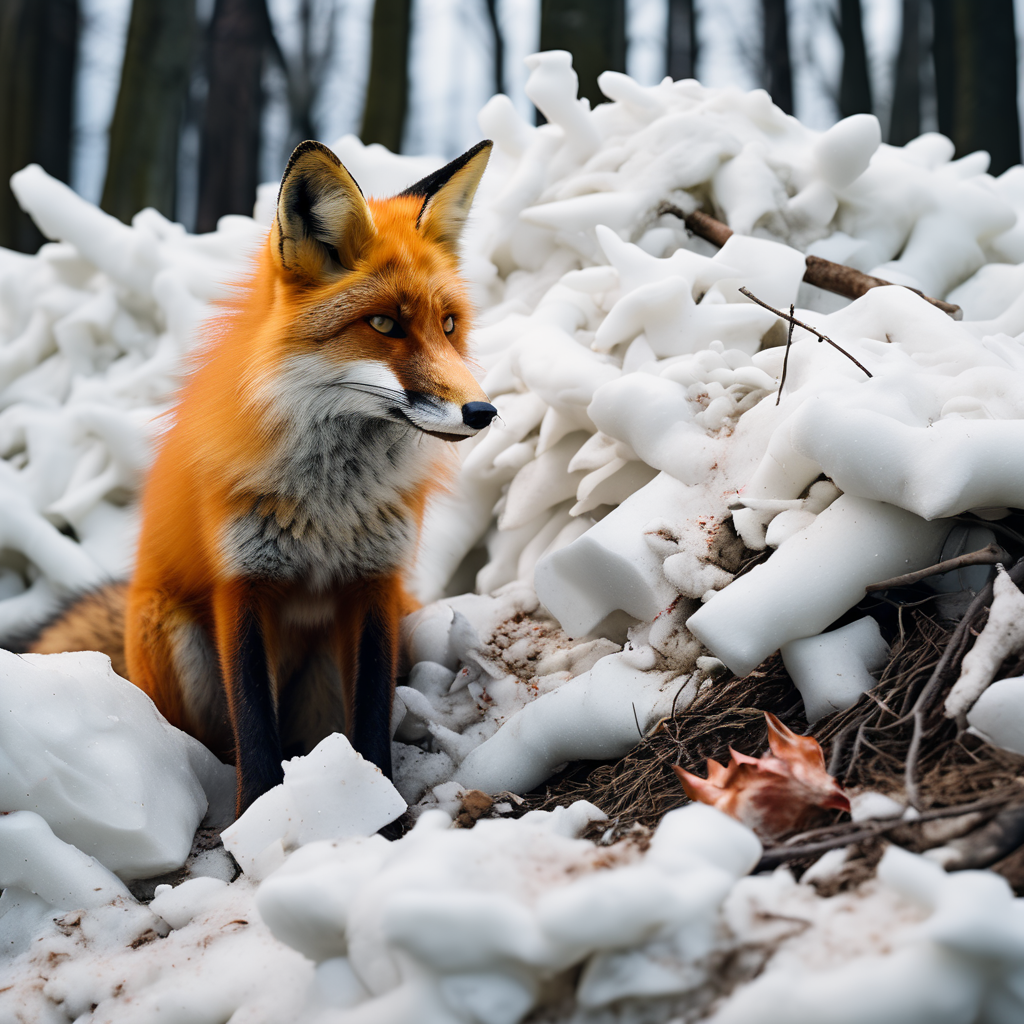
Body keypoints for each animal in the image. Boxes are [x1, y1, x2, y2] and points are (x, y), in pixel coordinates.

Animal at [29, 139, 498, 815]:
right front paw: (257, 820)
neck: (331, 503)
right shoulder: (243, 586)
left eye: (450, 325)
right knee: (215, 746)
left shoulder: (374, 584)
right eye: (385, 325)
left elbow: (371, 718)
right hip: (174, 634)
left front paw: (382, 816)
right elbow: (254, 729)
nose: (483, 412)